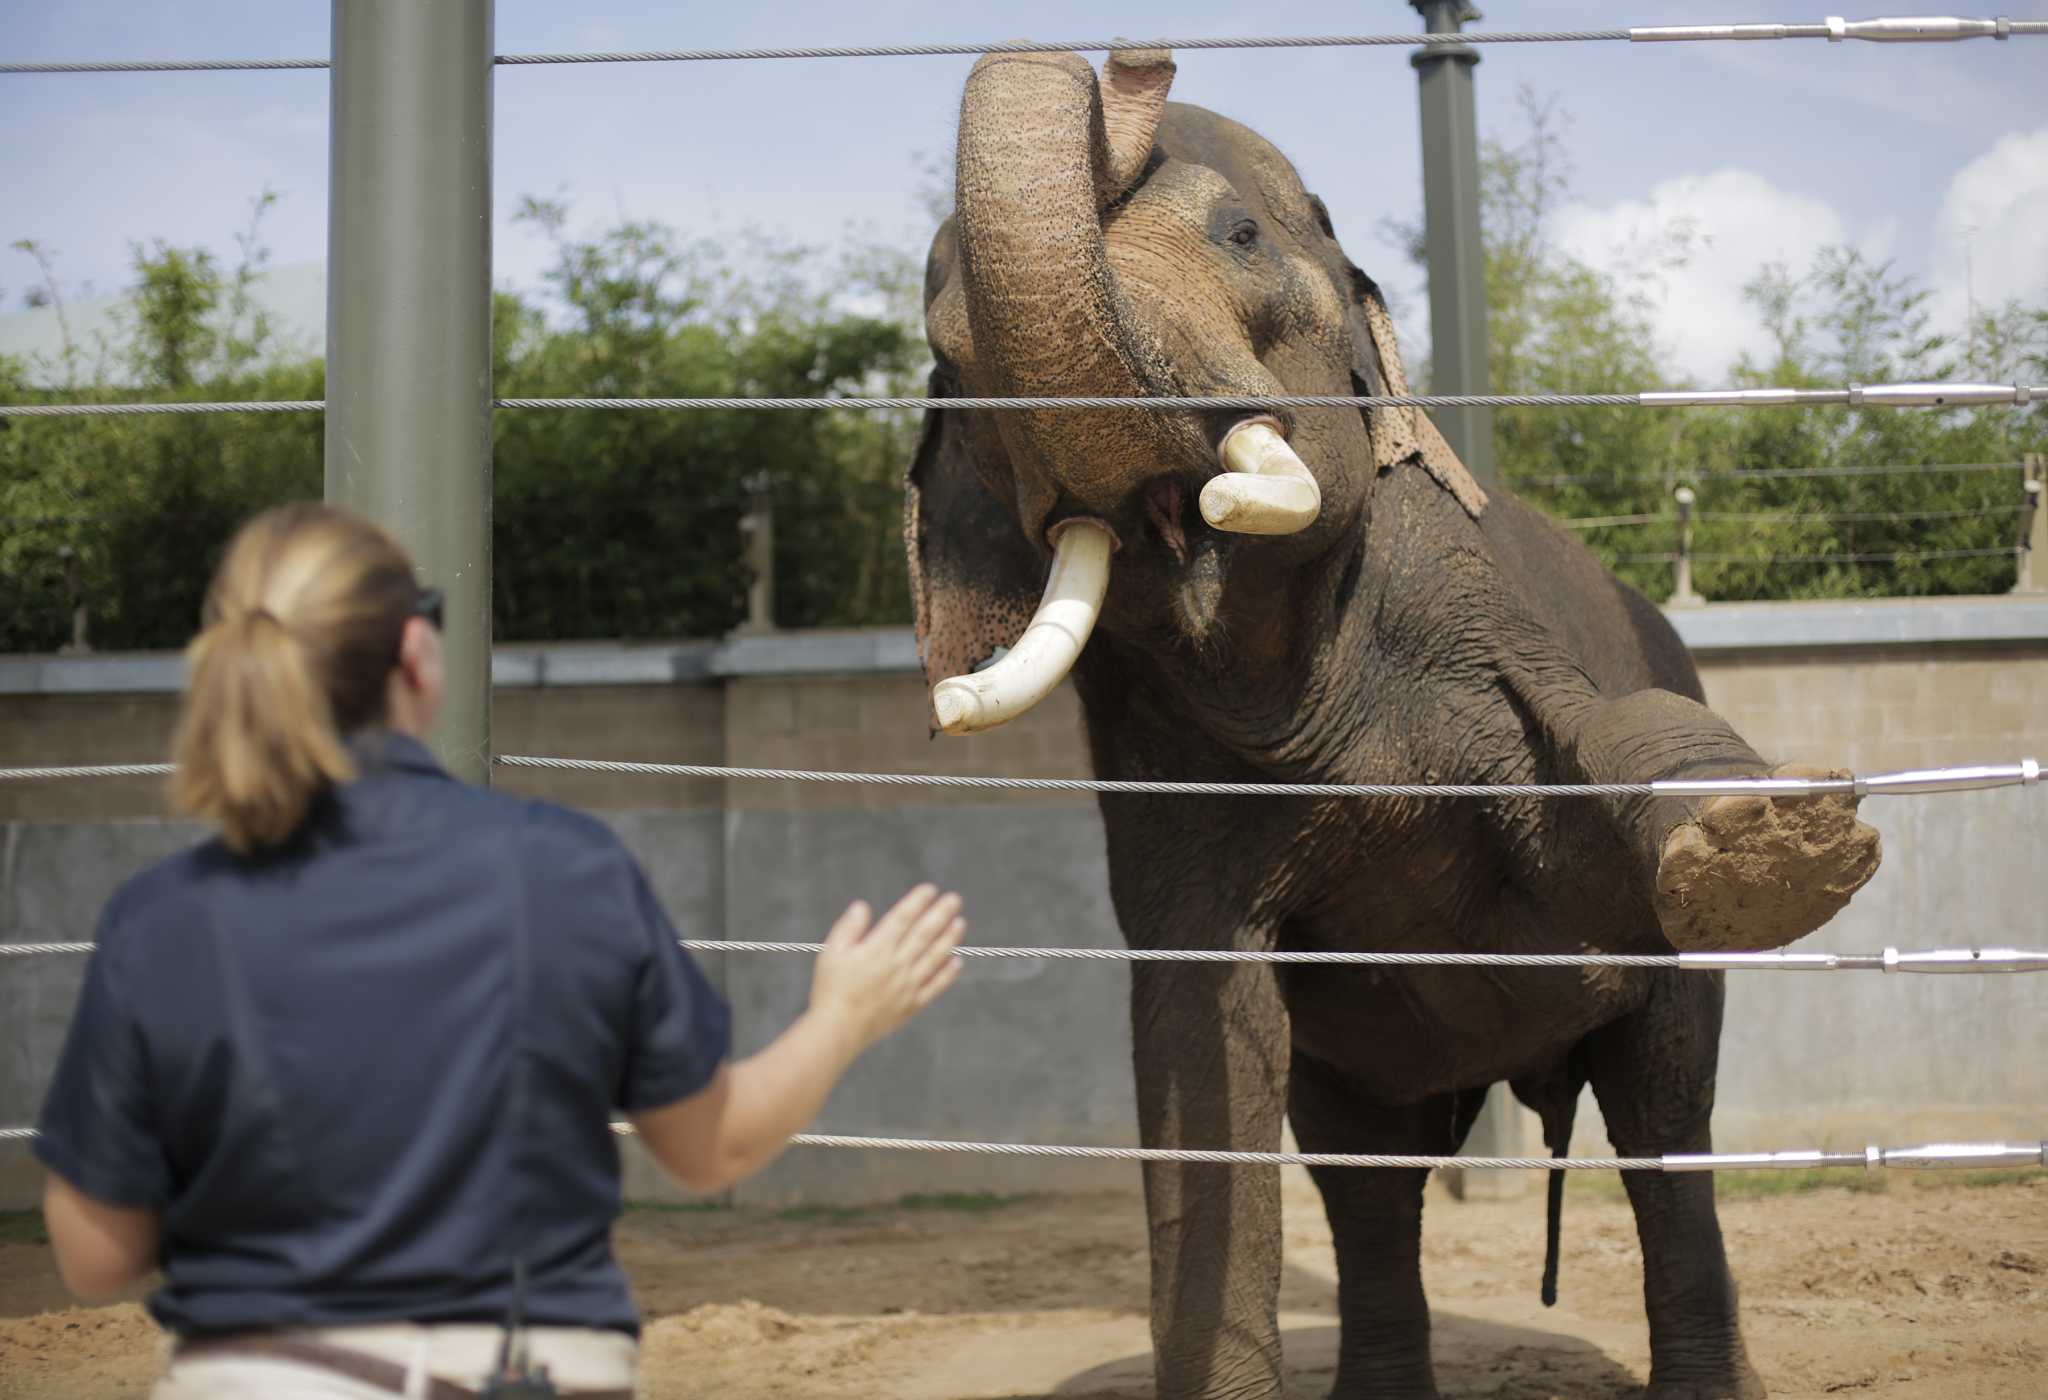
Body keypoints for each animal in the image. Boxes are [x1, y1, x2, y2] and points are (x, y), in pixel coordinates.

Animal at [901, 47, 1882, 1400]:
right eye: (947, 354)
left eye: (1239, 234)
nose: (1127, 62)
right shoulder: (1149, 754)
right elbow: (1200, 1029)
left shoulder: (1478, 621)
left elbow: (1585, 892)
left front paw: (1769, 845)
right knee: (1364, 1167)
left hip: (1667, 1023)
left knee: (1663, 1114)